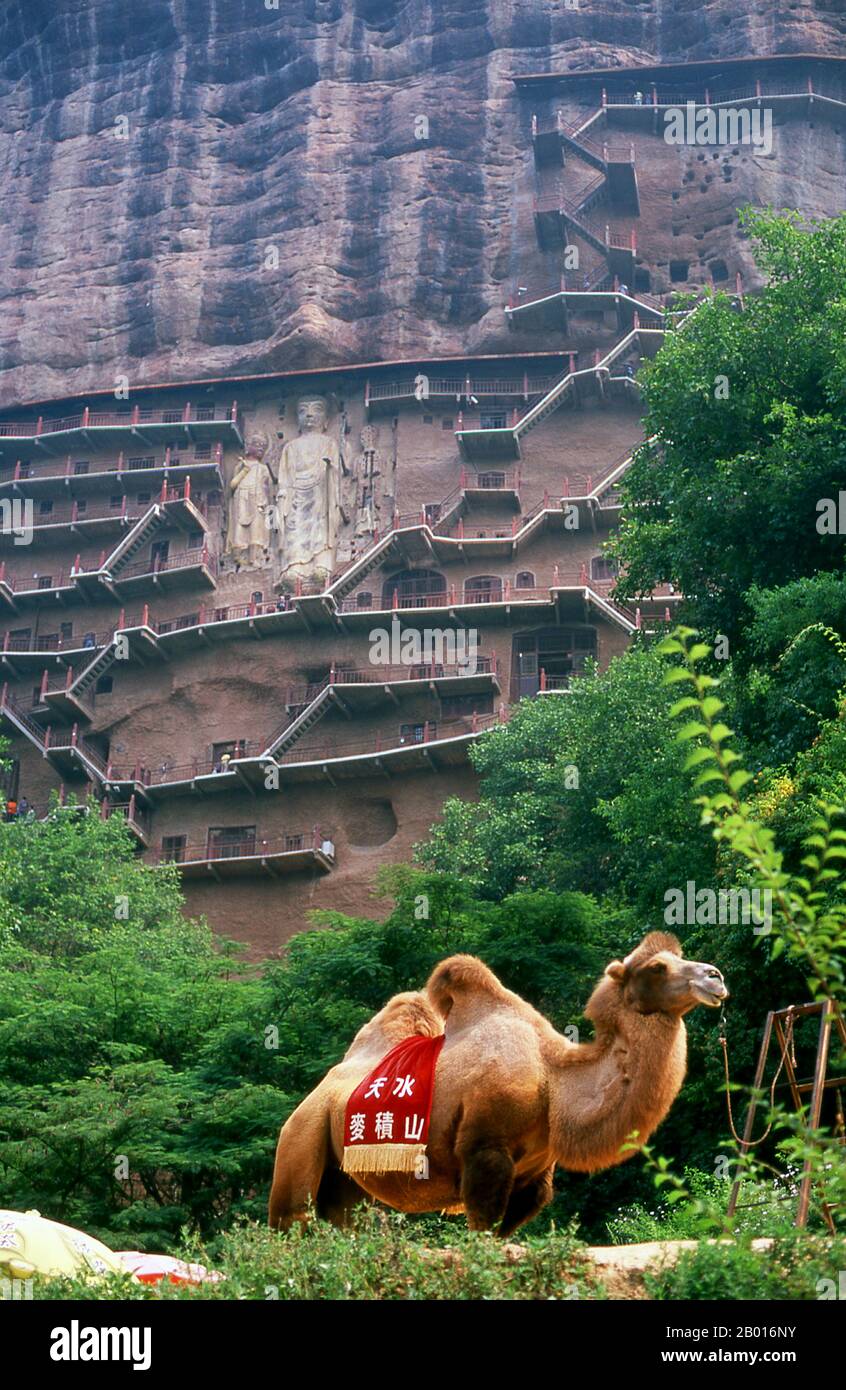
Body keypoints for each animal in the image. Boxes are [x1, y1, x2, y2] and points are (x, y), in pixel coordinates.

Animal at [268, 931, 728, 1237]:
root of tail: (311, 1096)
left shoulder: (535, 1176)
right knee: (290, 1216)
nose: (716, 976)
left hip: (345, 1174)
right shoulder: (484, 1150)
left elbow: (505, 1234)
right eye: (657, 967)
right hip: (302, 1135)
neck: (553, 1080)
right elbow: (483, 1230)